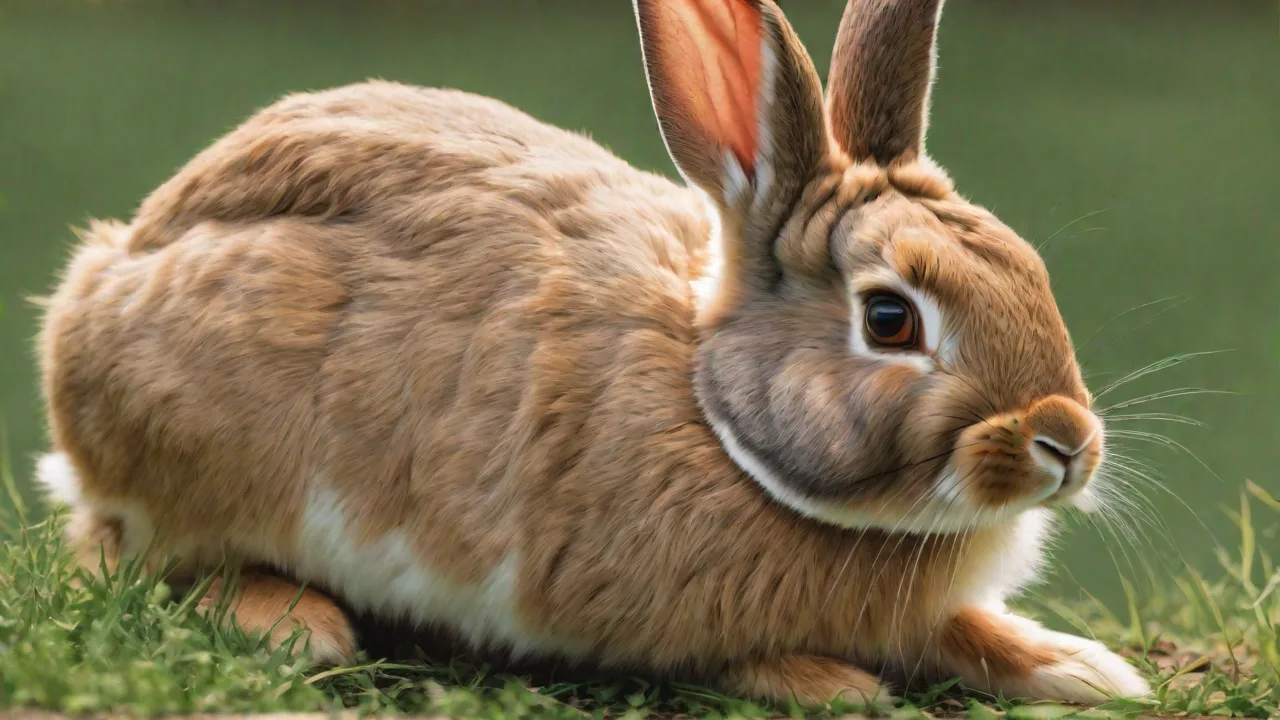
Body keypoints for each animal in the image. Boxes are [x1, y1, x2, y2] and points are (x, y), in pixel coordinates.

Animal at [34, 0, 1151, 708]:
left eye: (1028, 268)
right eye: (890, 320)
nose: (1066, 443)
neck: (714, 415)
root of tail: (98, 289)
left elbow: (968, 634)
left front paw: (1085, 670)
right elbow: (733, 660)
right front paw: (829, 683)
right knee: (133, 553)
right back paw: (292, 621)